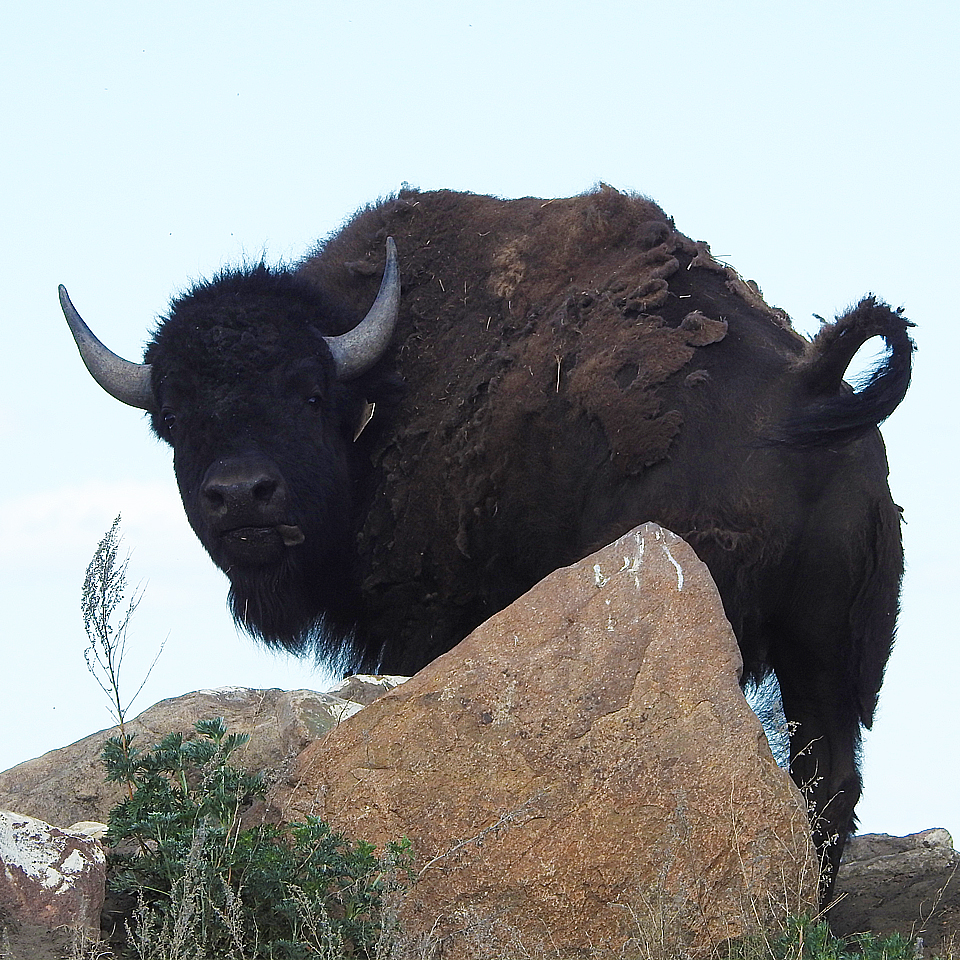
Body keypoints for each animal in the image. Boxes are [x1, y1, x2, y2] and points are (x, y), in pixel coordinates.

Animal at [61, 186, 913, 901]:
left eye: (307, 391)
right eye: (173, 417)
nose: (241, 494)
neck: (376, 391)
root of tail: (806, 384)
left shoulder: (424, 627)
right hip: (829, 656)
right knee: (828, 783)